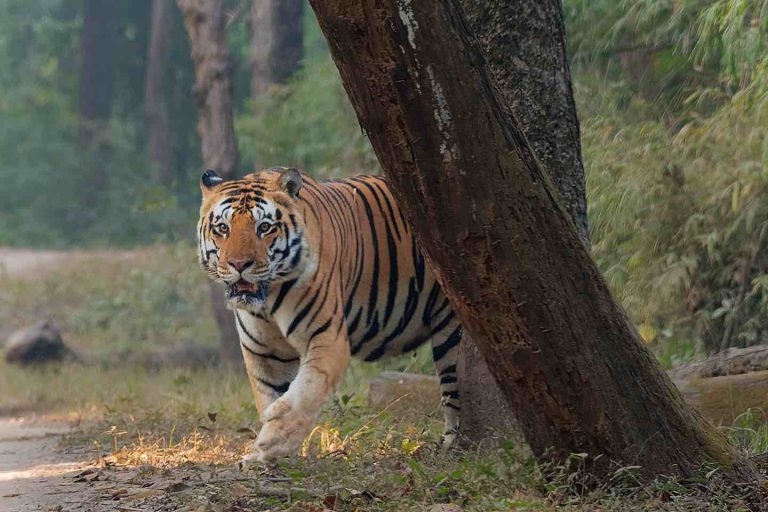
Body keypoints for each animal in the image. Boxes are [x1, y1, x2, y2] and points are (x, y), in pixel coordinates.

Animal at [197, 167, 462, 462]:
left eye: (264, 227)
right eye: (223, 228)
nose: (239, 264)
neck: (268, 300)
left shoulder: (327, 338)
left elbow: (305, 391)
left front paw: (274, 441)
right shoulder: (265, 352)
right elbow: (269, 394)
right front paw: (263, 455)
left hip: (451, 334)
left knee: (453, 392)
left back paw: (453, 446)